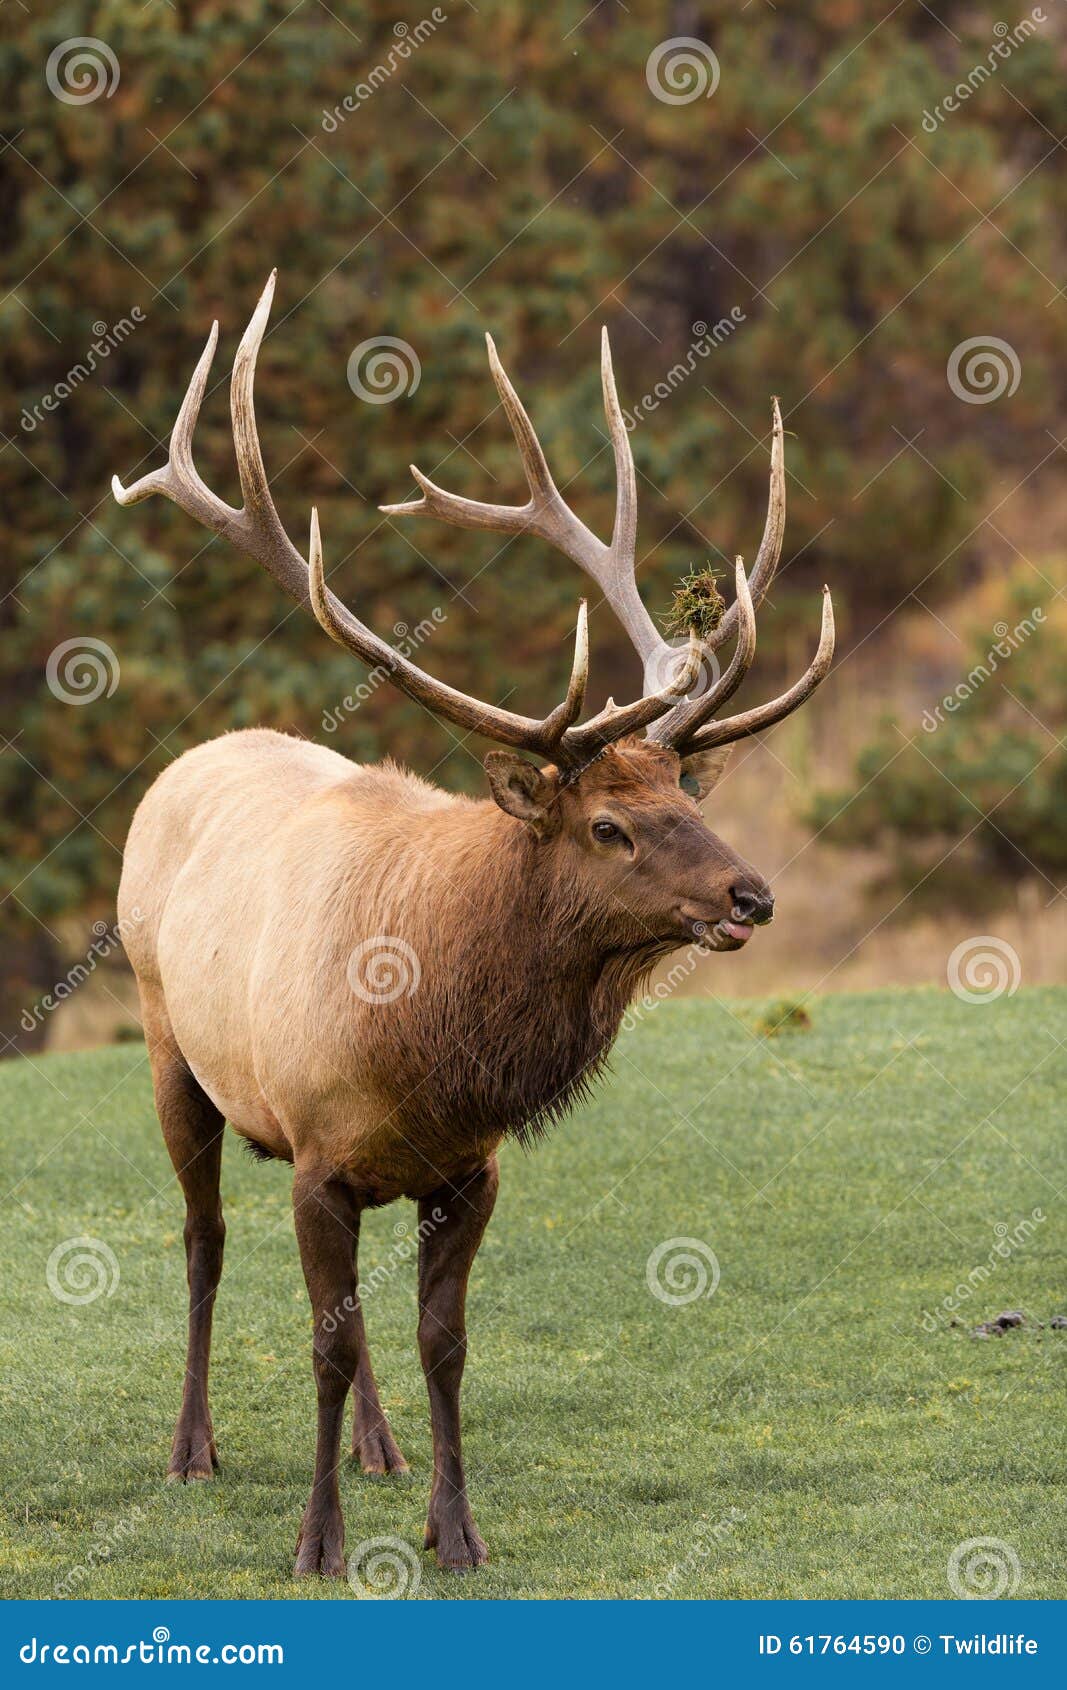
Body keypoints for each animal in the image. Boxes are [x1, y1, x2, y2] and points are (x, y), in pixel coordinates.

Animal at [111, 273, 833, 1578]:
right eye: (607, 825)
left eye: (686, 797)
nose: (749, 896)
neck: (431, 1045)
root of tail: (197, 754)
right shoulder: (317, 1149)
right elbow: (324, 1342)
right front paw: (317, 1545)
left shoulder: (462, 1167)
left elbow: (439, 1343)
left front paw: (454, 1529)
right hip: (165, 1039)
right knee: (203, 1237)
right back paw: (193, 1448)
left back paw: (380, 1450)